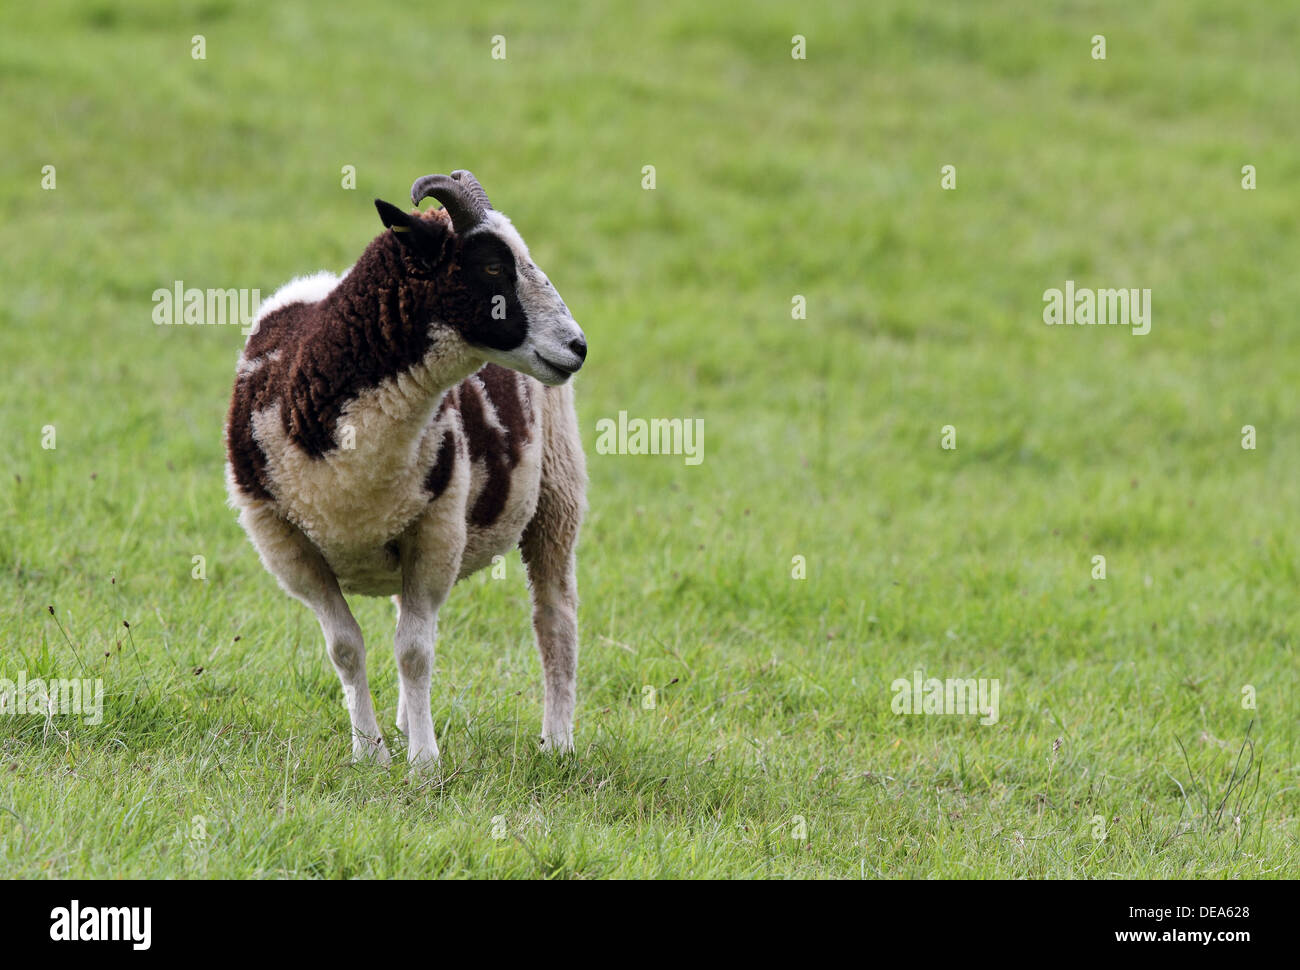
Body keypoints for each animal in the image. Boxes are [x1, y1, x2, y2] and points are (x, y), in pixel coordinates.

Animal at [224, 170, 588, 771]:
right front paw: (370, 753)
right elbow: (346, 648)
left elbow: (414, 651)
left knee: (555, 618)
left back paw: (557, 742)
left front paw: (423, 763)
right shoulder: (285, 542)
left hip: (558, 491)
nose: (578, 346)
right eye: (493, 266)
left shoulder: (437, 531)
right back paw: (399, 722)